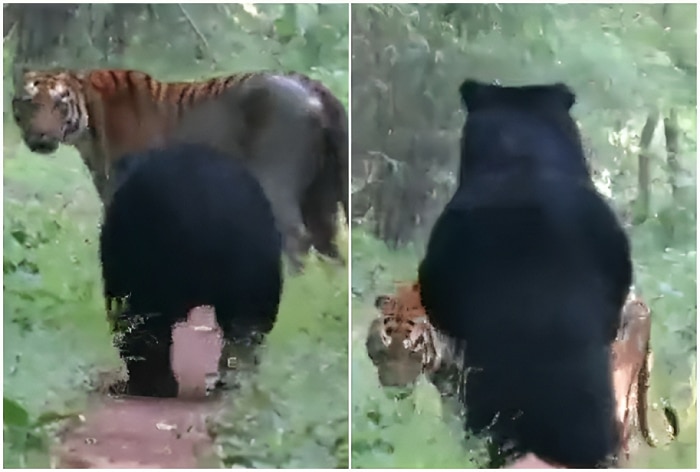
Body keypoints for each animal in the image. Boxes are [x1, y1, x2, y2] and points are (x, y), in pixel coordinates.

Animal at [11, 68, 348, 271]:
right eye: (29, 103)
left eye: (59, 104)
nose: (41, 135)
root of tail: (314, 86)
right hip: (321, 195)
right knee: (328, 245)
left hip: (276, 181)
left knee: (296, 237)